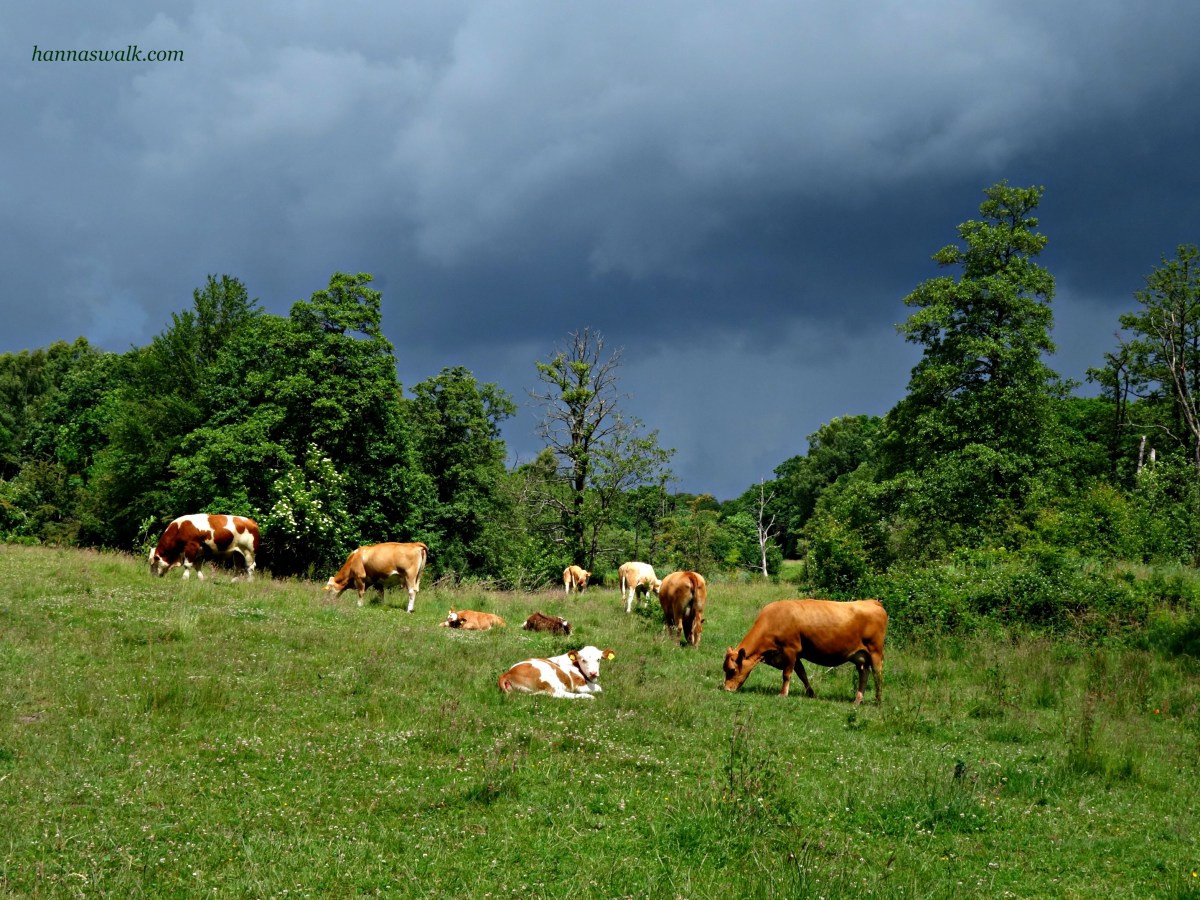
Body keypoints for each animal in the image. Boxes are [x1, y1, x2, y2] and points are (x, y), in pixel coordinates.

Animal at [722, 599, 887, 705]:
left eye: (732, 669)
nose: (726, 689)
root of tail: (872, 601)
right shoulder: (796, 655)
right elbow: (802, 674)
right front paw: (811, 693)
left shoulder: (790, 650)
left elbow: (786, 675)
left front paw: (783, 694)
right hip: (860, 657)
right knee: (864, 675)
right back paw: (858, 700)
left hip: (875, 651)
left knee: (878, 674)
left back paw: (878, 701)